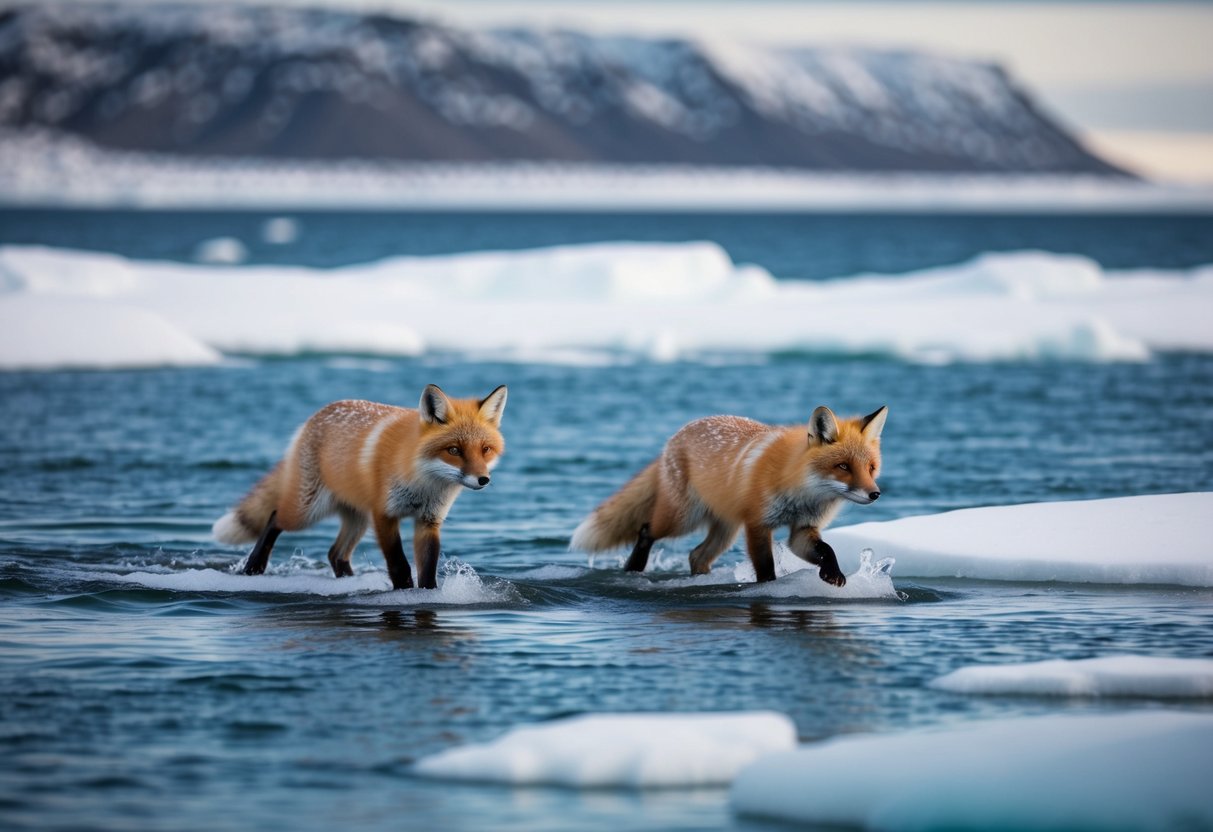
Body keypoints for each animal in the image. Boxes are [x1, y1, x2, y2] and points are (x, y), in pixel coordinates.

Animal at [212, 384, 507, 590]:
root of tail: (316, 415)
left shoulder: (428, 520)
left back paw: (348, 583)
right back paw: (254, 567)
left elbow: (428, 568)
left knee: (335, 554)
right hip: (309, 511)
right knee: (275, 517)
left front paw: (428, 595)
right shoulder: (384, 515)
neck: (424, 482)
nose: (483, 479)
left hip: (358, 518)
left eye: (485, 450)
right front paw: (404, 593)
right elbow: (399, 565)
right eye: (454, 450)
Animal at [571, 404, 887, 586]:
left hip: (726, 528)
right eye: (843, 466)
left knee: (696, 556)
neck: (802, 492)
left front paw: (832, 573)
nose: (875, 494)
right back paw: (633, 569)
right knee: (646, 530)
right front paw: (768, 589)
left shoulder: (803, 528)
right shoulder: (757, 524)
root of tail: (675, 437)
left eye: (871, 468)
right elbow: (765, 567)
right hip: (682, 519)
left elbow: (827, 549)